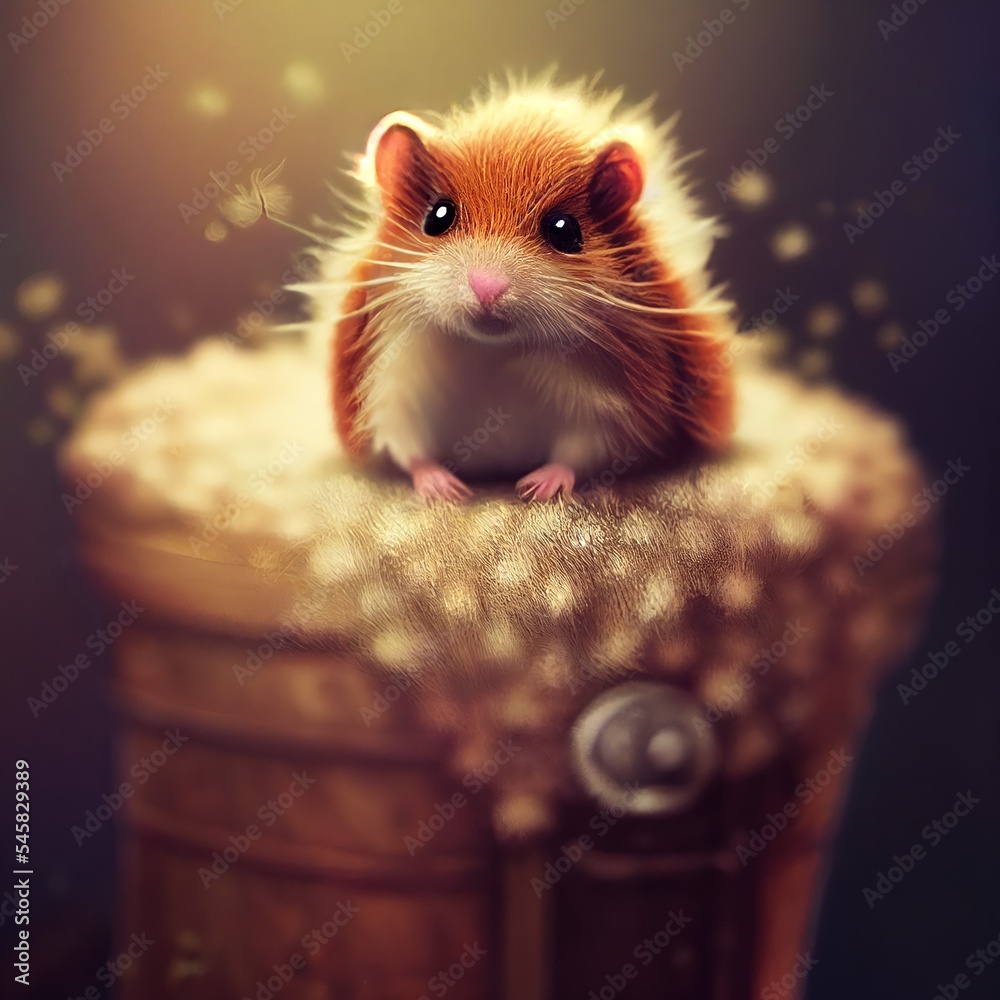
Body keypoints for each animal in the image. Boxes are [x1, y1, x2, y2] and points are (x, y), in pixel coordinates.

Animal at [316, 73, 735, 501]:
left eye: (564, 230)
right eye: (438, 216)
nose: (487, 288)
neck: (494, 349)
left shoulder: (609, 404)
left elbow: (577, 454)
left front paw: (533, 489)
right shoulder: (391, 384)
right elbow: (410, 448)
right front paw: (449, 491)